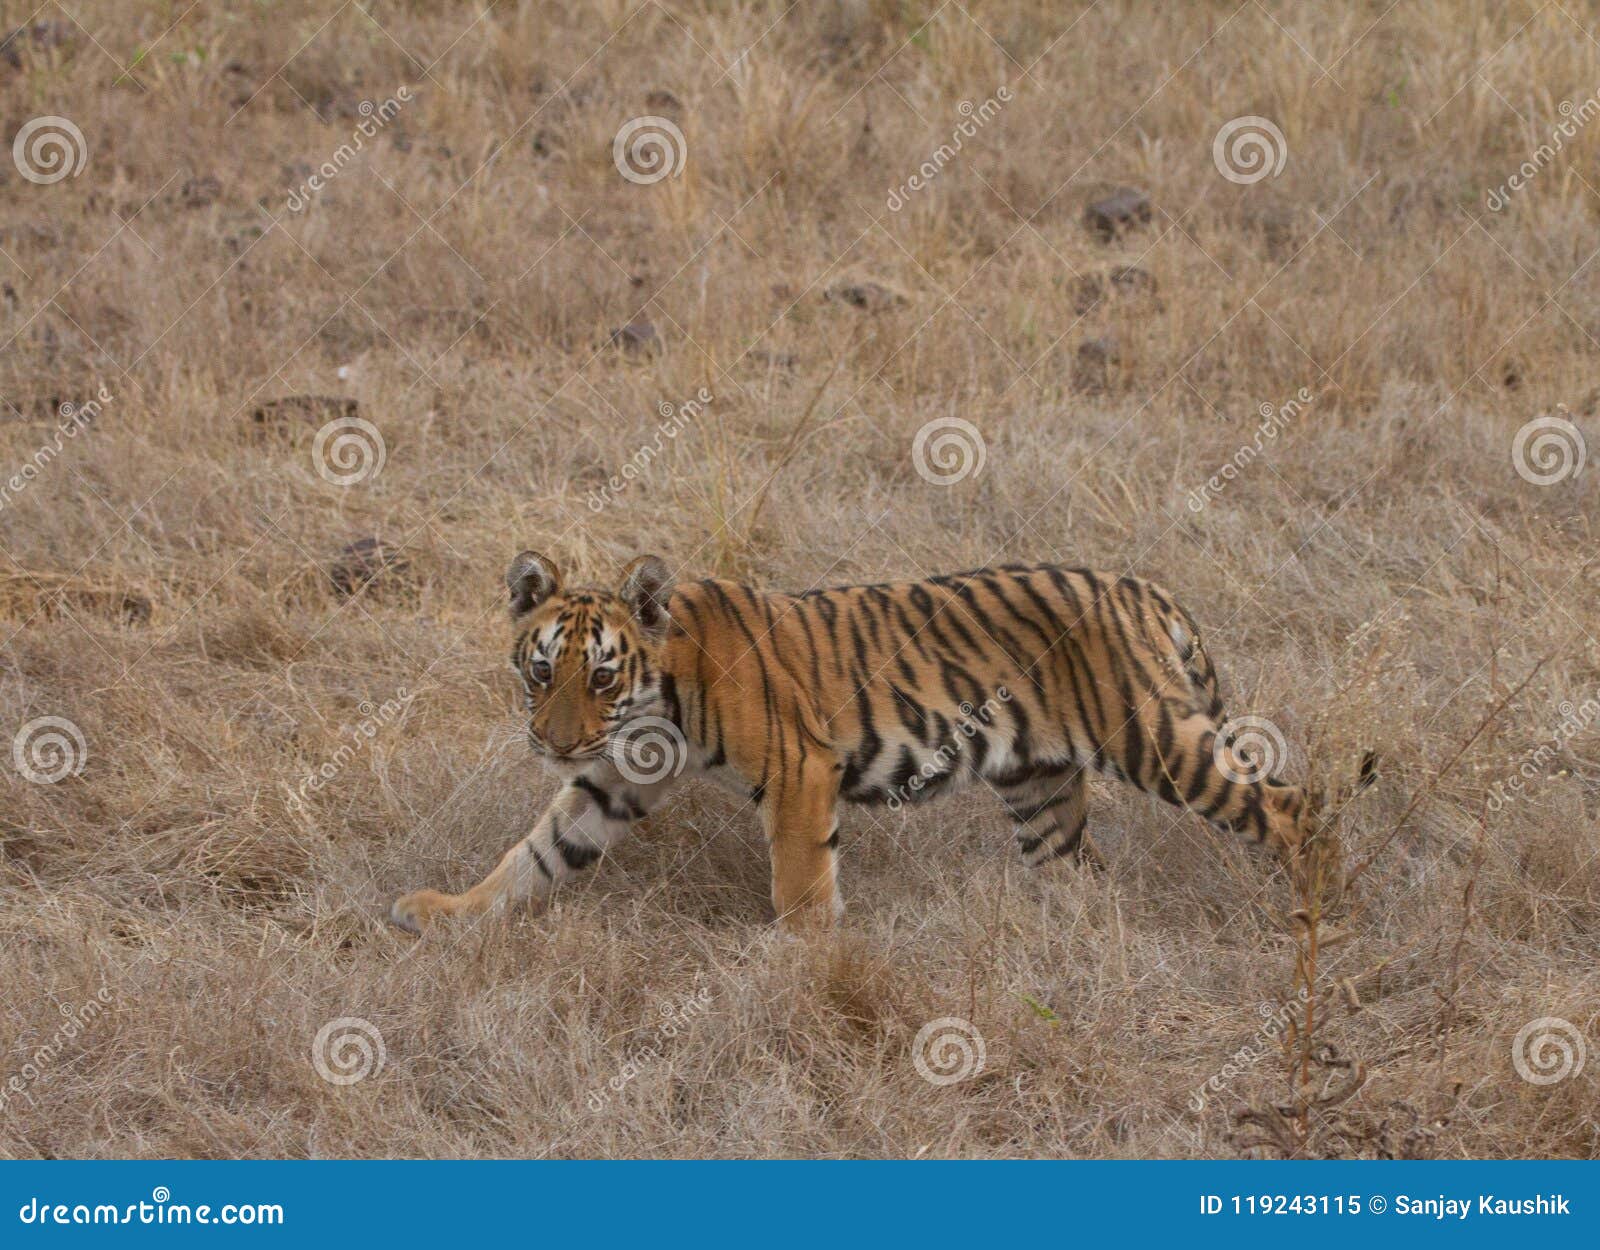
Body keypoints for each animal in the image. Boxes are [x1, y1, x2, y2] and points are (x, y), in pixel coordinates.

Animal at [390, 551, 1351, 934]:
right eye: (539, 670)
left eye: (599, 677)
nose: (555, 745)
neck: (651, 708)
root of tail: (1144, 587)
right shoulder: (612, 782)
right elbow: (534, 854)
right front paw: (449, 913)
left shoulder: (798, 772)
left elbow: (801, 883)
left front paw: (802, 967)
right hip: (1040, 783)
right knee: (1075, 871)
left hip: (1161, 743)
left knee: (1291, 804)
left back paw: (1314, 911)